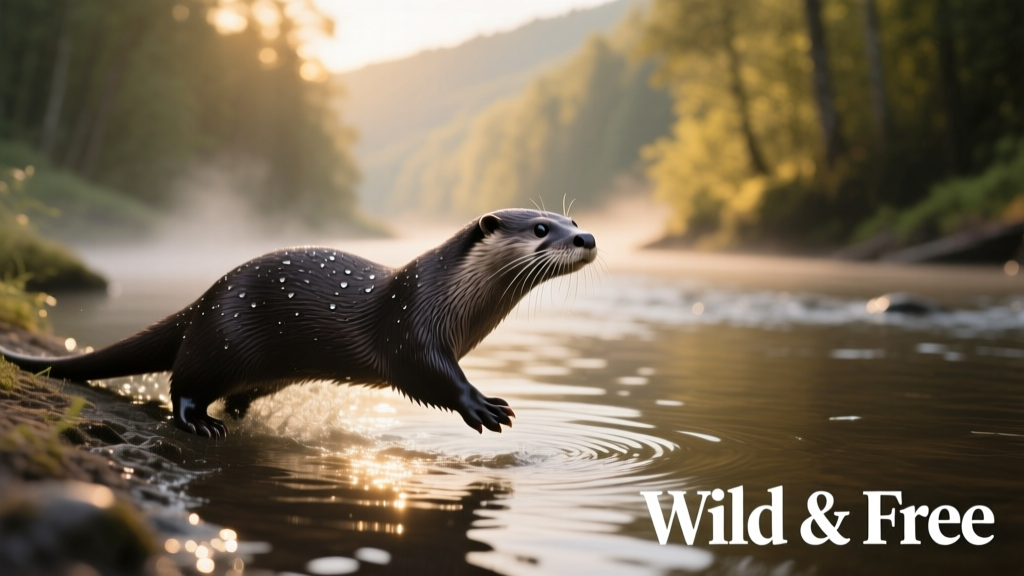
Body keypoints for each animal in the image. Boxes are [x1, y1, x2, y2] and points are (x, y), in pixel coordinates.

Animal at [0, 209, 597, 438]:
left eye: (573, 219)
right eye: (541, 228)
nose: (587, 237)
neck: (450, 300)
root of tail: (202, 299)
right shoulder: (410, 325)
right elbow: (425, 375)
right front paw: (483, 405)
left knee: (233, 391)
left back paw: (238, 415)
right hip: (221, 338)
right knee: (185, 384)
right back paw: (201, 423)